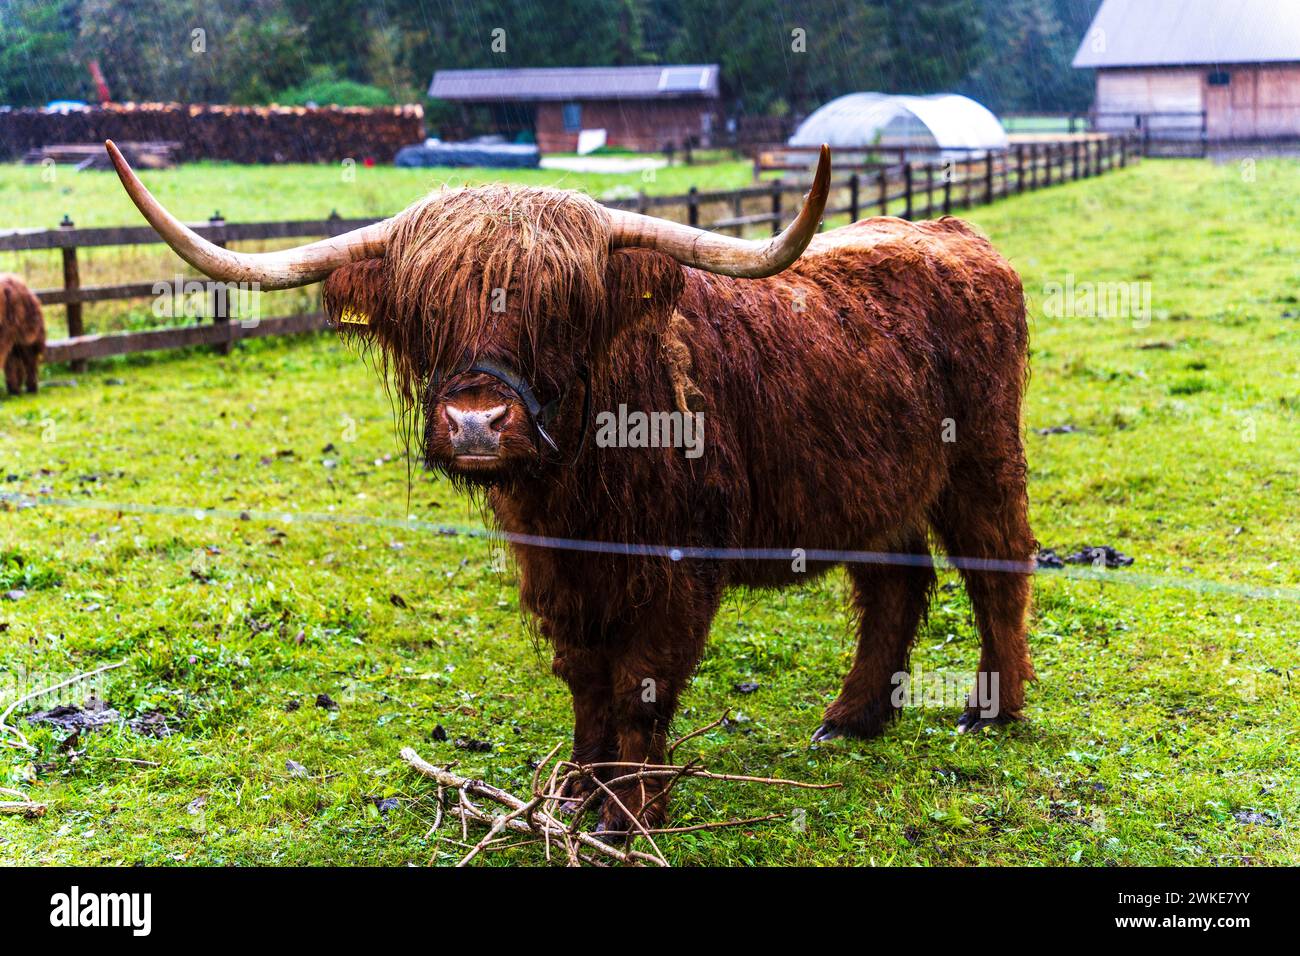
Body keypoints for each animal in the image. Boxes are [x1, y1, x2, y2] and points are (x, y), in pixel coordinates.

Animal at [105, 140, 1035, 833]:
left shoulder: (676, 572)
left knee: (998, 566)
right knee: (895, 584)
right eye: (428, 313)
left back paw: (992, 708)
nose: (477, 421)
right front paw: (580, 795)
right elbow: (585, 680)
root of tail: (957, 235)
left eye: (556, 313)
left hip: (983, 461)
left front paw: (630, 815)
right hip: (876, 490)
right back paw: (852, 717)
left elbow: (640, 689)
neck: (578, 486)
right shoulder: (556, 570)